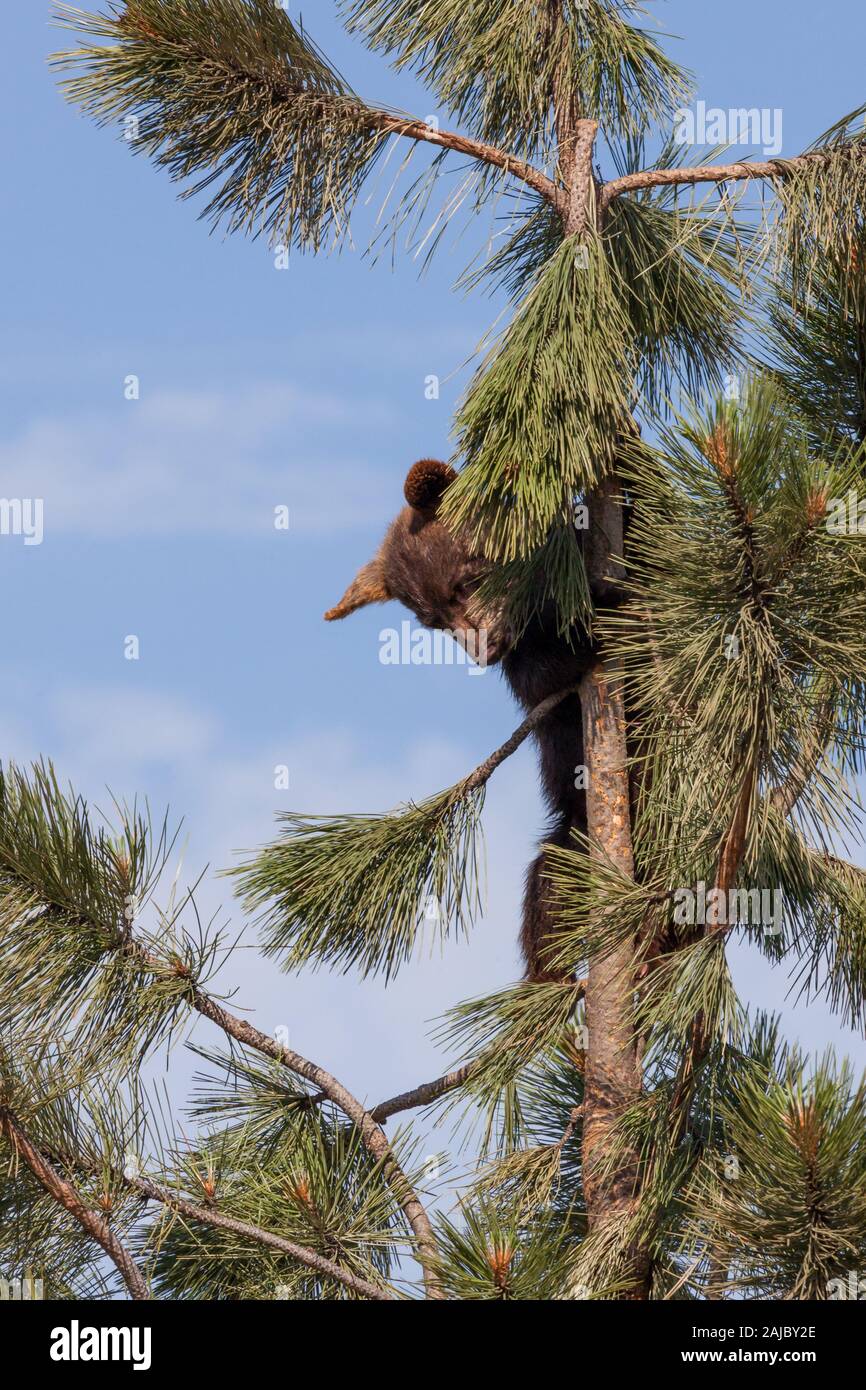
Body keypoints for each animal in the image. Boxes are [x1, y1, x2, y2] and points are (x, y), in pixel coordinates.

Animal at [324, 458, 601, 981]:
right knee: (550, 882)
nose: (484, 651)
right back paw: (548, 979)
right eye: (434, 622)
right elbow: (543, 678)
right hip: (576, 825)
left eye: (463, 583)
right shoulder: (532, 664)